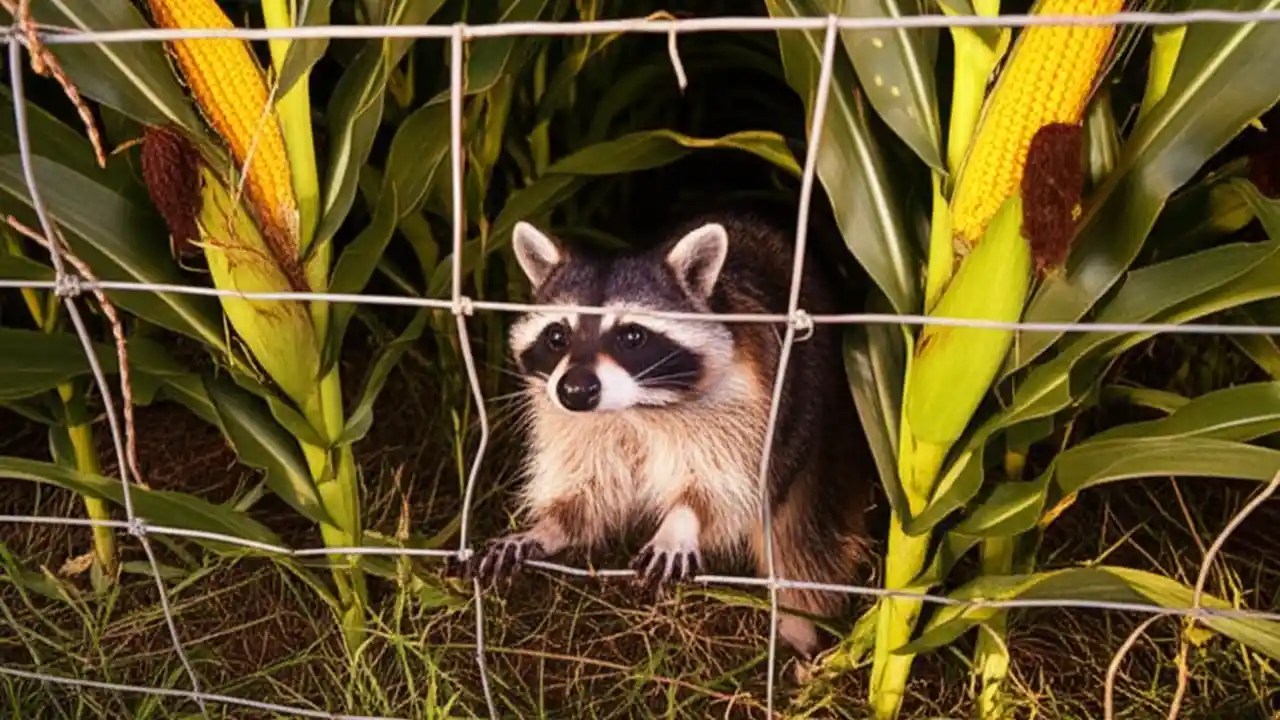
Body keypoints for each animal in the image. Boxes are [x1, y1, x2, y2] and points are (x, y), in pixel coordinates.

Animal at [470, 209, 873, 658]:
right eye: (557, 336)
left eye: (632, 336)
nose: (574, 391)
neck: (630, 411)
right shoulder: (570, 425)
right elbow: (587, 496)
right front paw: (547, 528)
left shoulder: (747, 405)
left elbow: (723, 489)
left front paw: (681, 520)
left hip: (814, 416)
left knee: (801, 538)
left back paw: (799, 621)